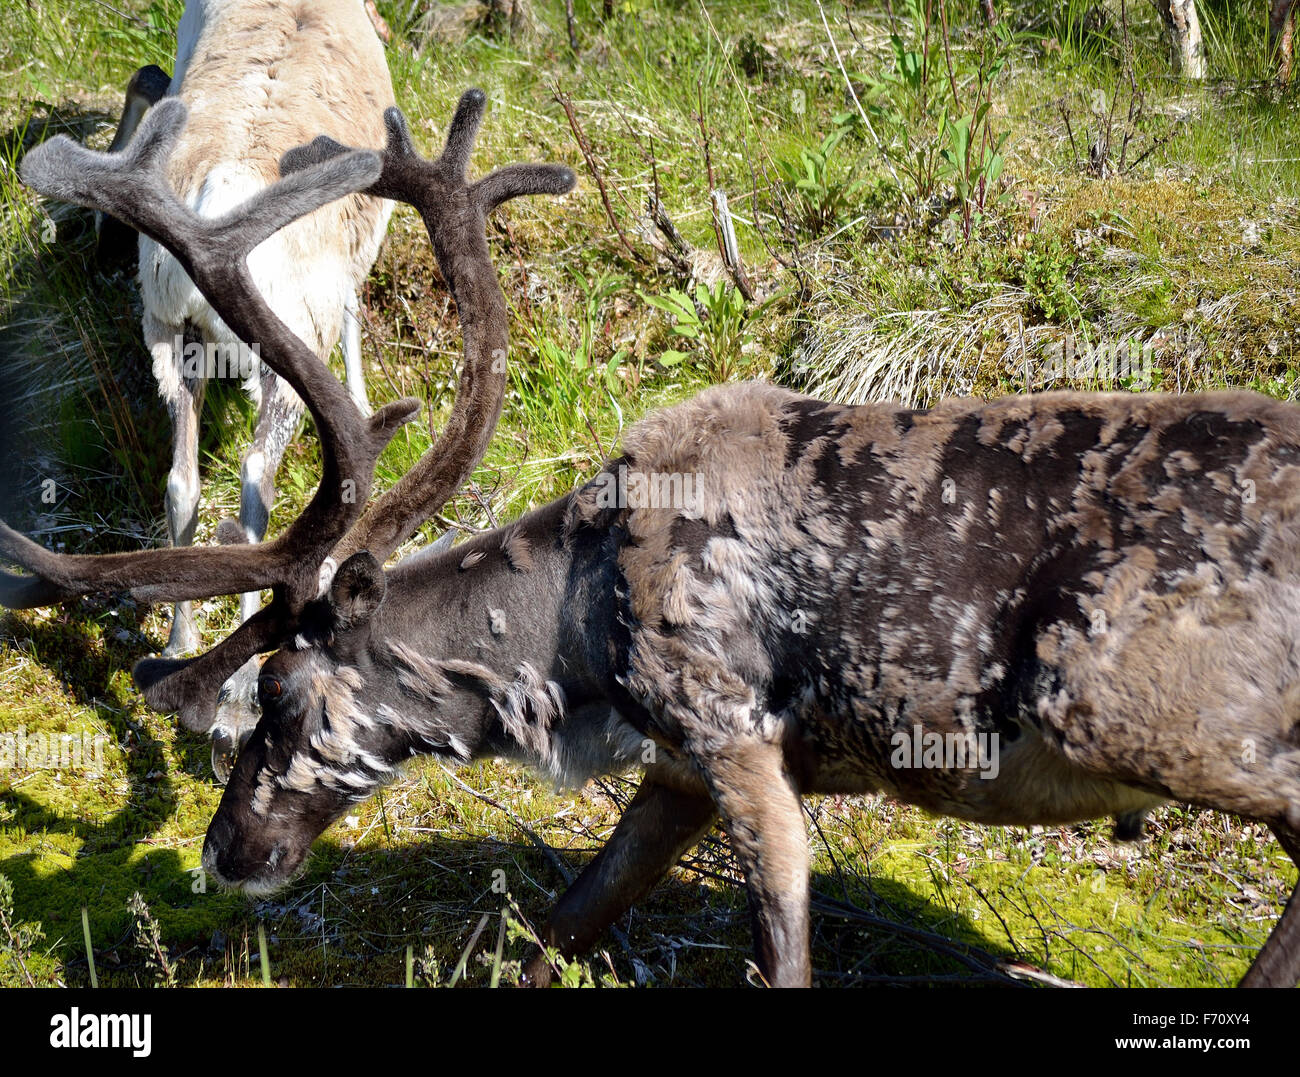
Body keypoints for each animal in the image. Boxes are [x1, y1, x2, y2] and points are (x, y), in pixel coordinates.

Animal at [8, 94, 1300, 990]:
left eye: (277, 695)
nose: (222, 854)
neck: (576, 634)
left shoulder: (736, 740)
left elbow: (778, 955)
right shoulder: (672, 771)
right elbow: (566, 921)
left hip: (1135, 708)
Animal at [100, 1, 398, 779]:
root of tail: (222, 196)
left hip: (169, 334)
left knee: (183, 480)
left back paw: (176, 652)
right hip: (278, 367)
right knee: (256, 486)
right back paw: (231, 710)